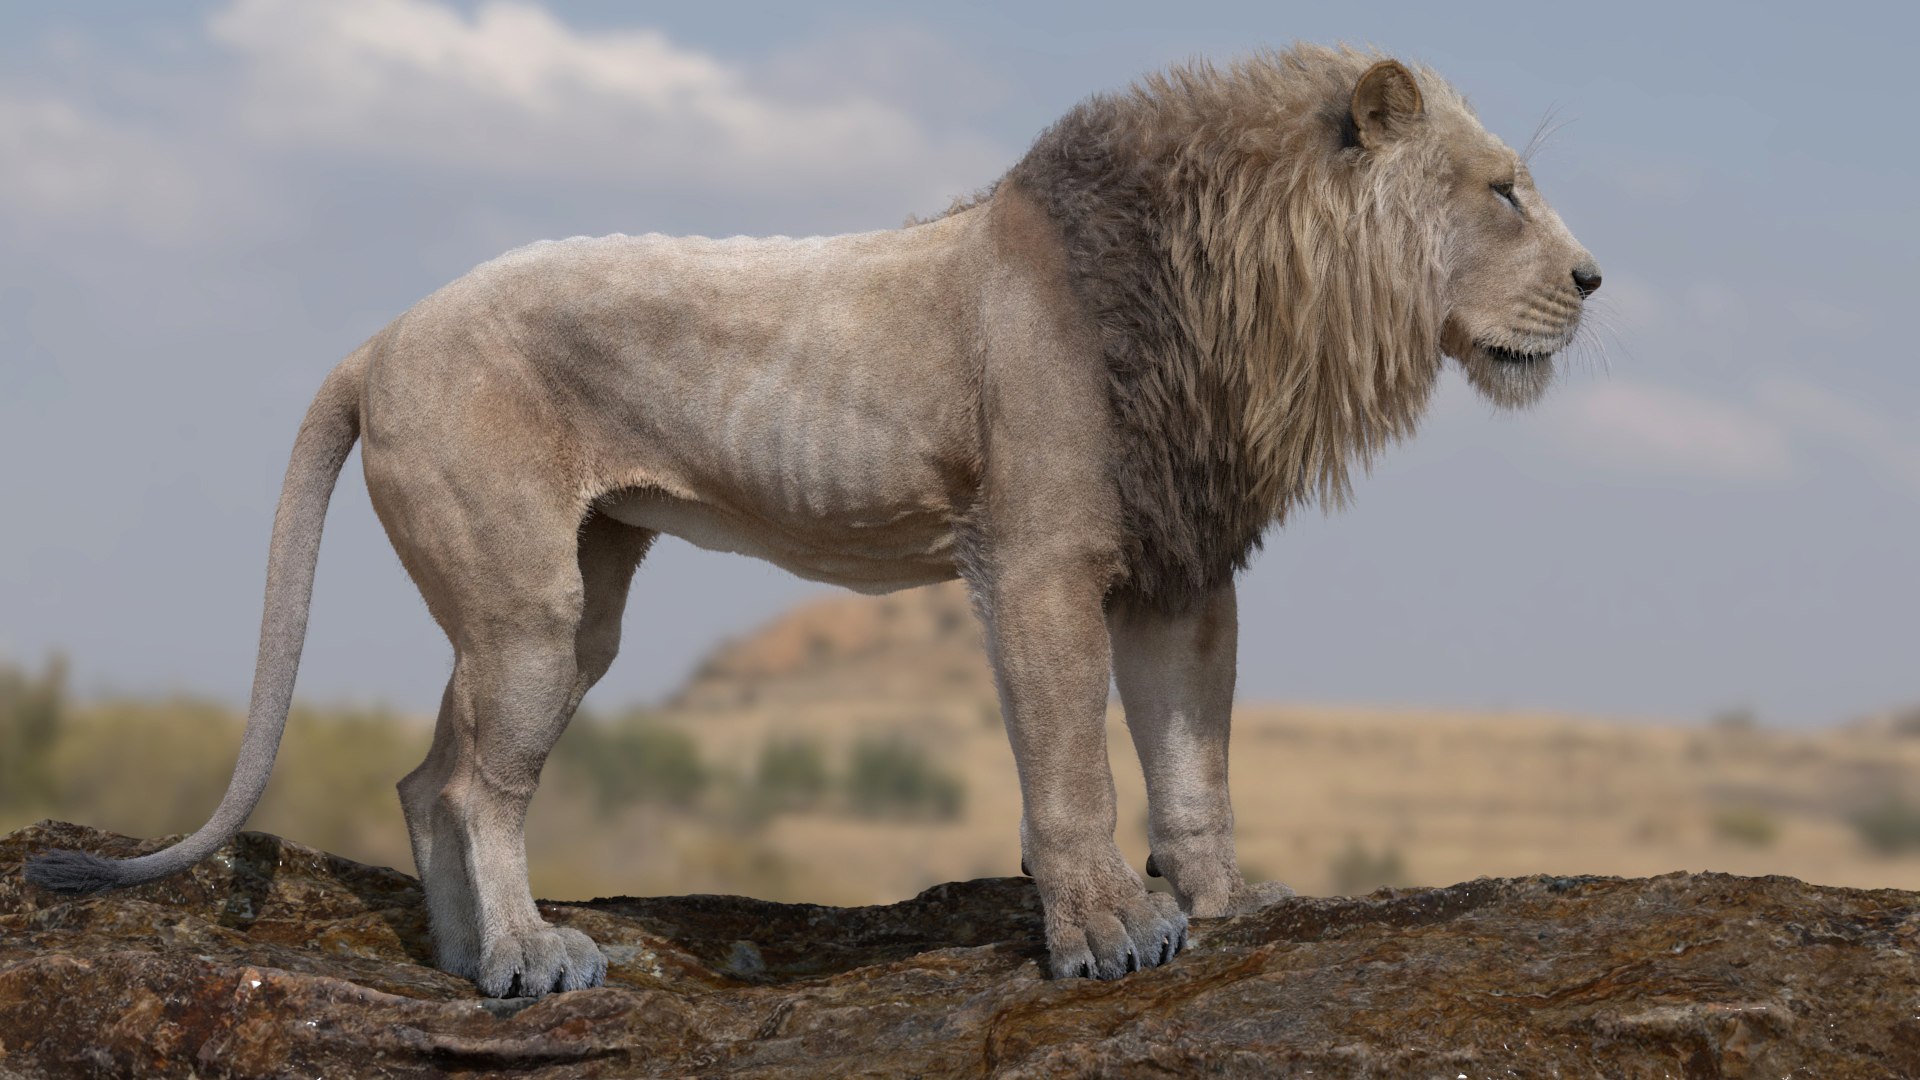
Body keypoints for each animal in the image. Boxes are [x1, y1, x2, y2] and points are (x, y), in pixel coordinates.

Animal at [27, 45, 1600, 996]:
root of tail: (377, 336)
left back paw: (476, 964)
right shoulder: (1037, 557)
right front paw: (1103, 936)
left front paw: (1226, 910)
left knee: (430, 777)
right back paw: (538, 962)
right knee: (478, 788)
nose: (1594, 281)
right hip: (530, 602)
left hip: (572, 607)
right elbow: (1074, 770)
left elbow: (1193, 763)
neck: (1247, 302)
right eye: (1504, 192)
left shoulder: (1183, 567)